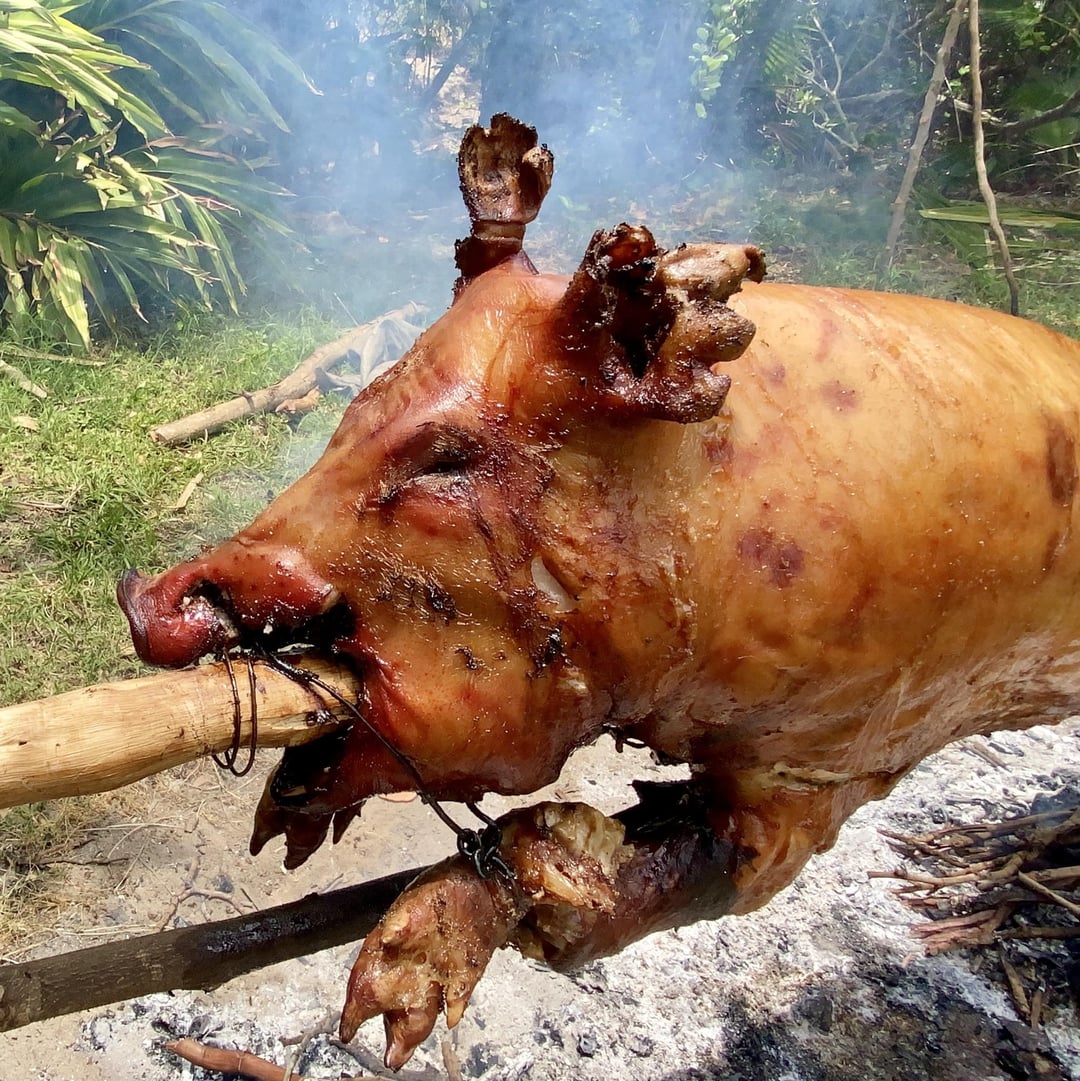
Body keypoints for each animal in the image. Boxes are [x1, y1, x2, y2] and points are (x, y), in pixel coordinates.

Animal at [118, 115, 1080, 1068]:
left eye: (447, 460)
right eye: (354, 407)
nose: (144, 601)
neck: (711, 517)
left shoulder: (829, 756)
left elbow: (624, 872)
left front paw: (389, 998)